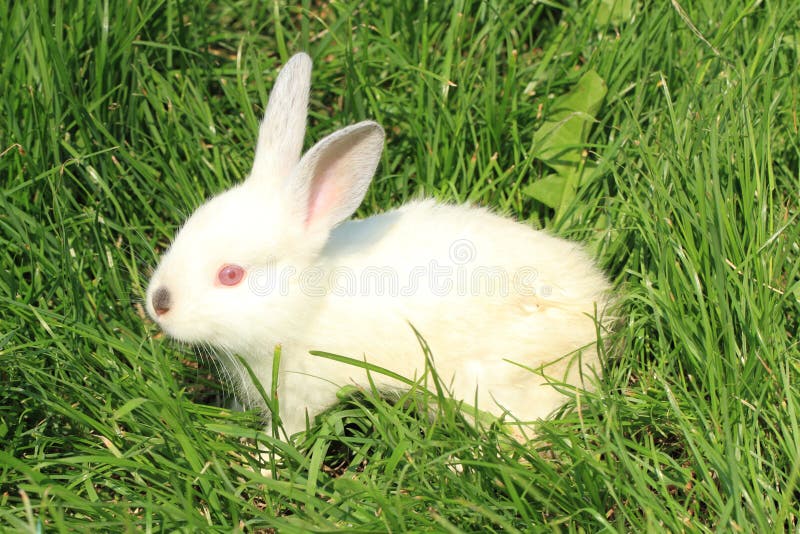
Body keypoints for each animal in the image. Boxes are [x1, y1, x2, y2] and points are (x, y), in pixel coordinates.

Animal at [145, 52, 611, 439]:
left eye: (231, 275)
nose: (158, 304)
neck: (309, 301)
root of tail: (597, 317)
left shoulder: (304, 393)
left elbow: (290, 432)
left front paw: (263, 462)